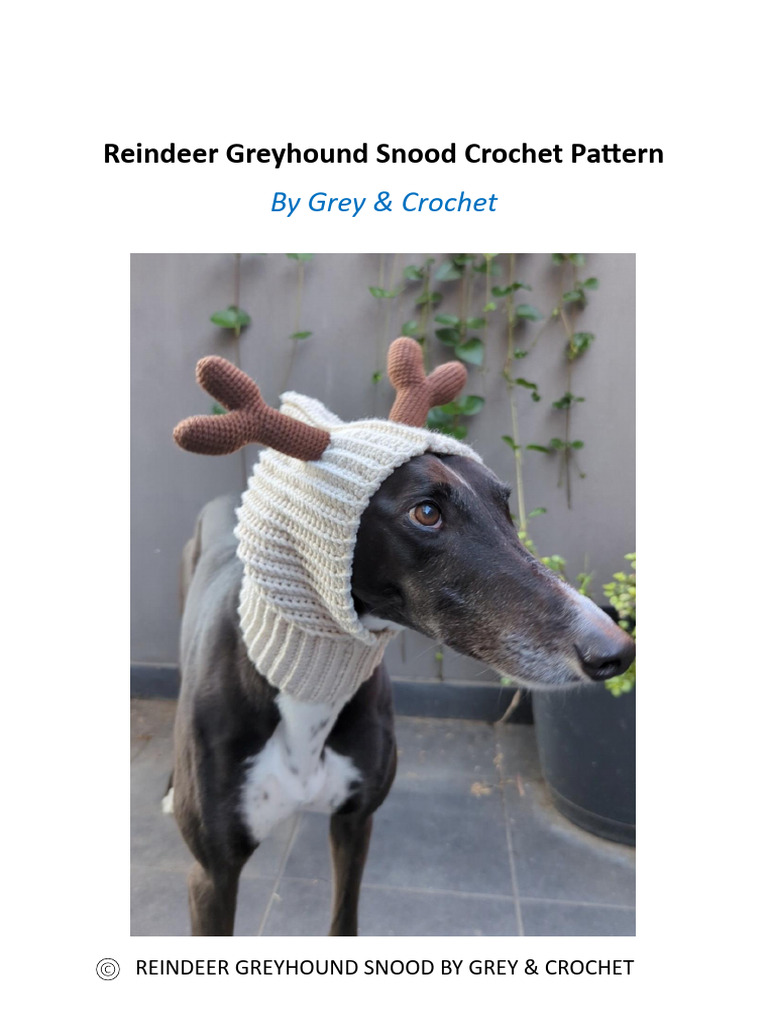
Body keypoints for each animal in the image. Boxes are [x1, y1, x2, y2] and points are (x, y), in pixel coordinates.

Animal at [166, 337, 635, 936]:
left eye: (504, 502)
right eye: (426, 512)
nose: (616, 651)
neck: (306, 686)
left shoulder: (356, 823)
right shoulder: (212, 875)